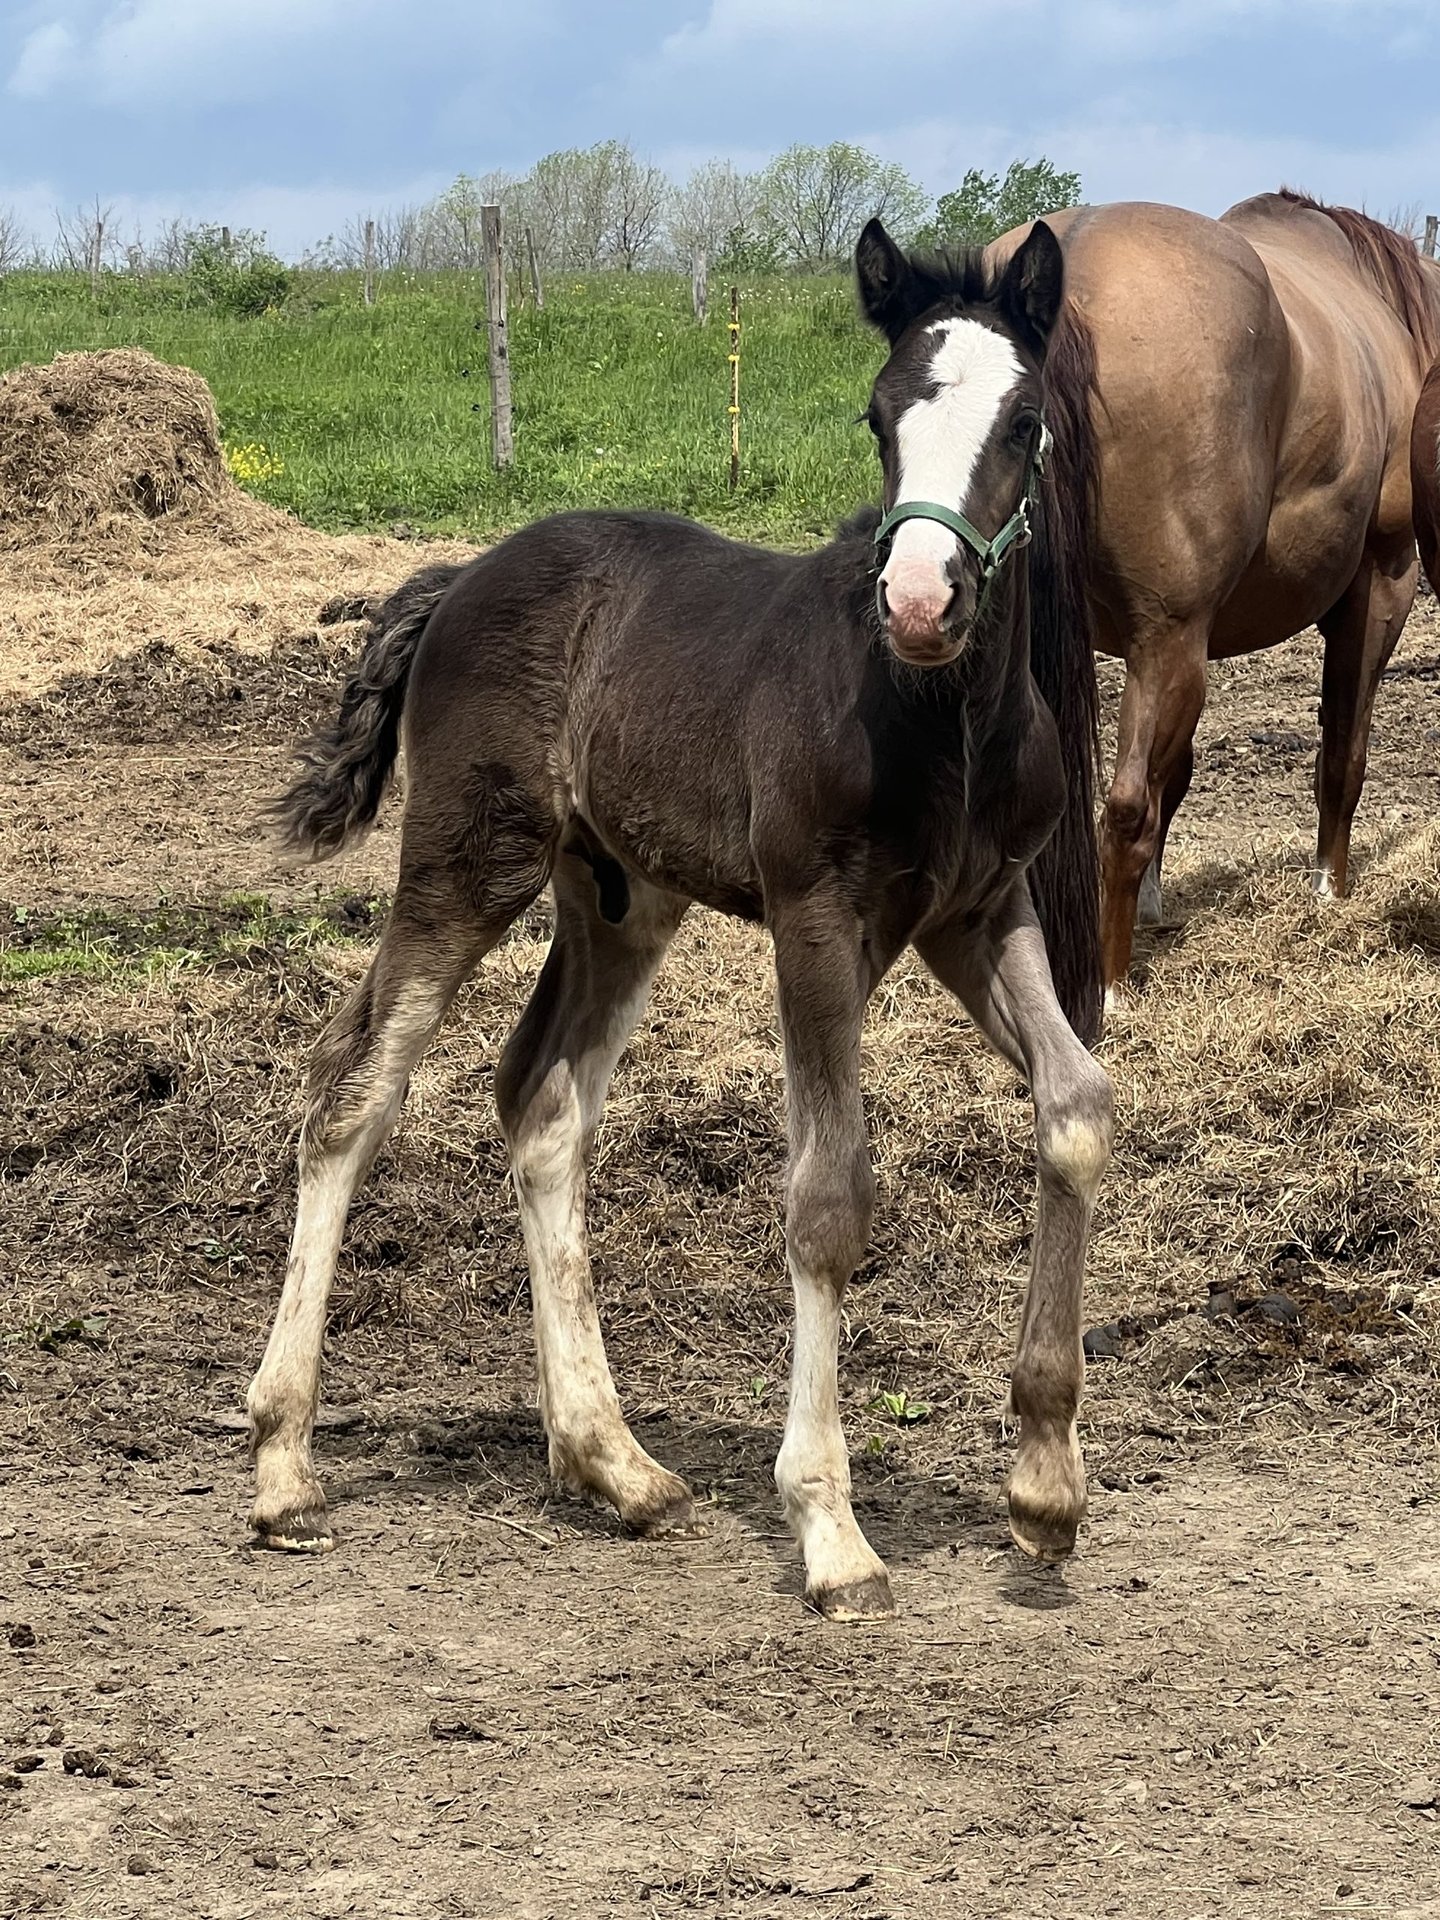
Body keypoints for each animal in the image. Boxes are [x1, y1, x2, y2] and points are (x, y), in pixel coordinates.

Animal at [245, 219, 1112, 1622]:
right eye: (878, 416)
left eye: (1024, 422)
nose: (921, 601)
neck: (941, 719)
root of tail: (464, 573)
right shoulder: (817, 919)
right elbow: (827, 1197)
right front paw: (831, 1532)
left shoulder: (980, 913)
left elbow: (1077, 1106)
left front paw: (1044, 1485)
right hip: (466, 865)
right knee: (353, 1091)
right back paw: (282, 1470)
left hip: (617, 898)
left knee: (538, 1103)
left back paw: (613, 1464)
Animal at [973, 191, 1440, 990]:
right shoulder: (1380, 585)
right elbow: (1343, 753)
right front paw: (1329, 889)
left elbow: (1182, 772)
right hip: (1169, 640)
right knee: (1125, 808)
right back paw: (1111, 984)